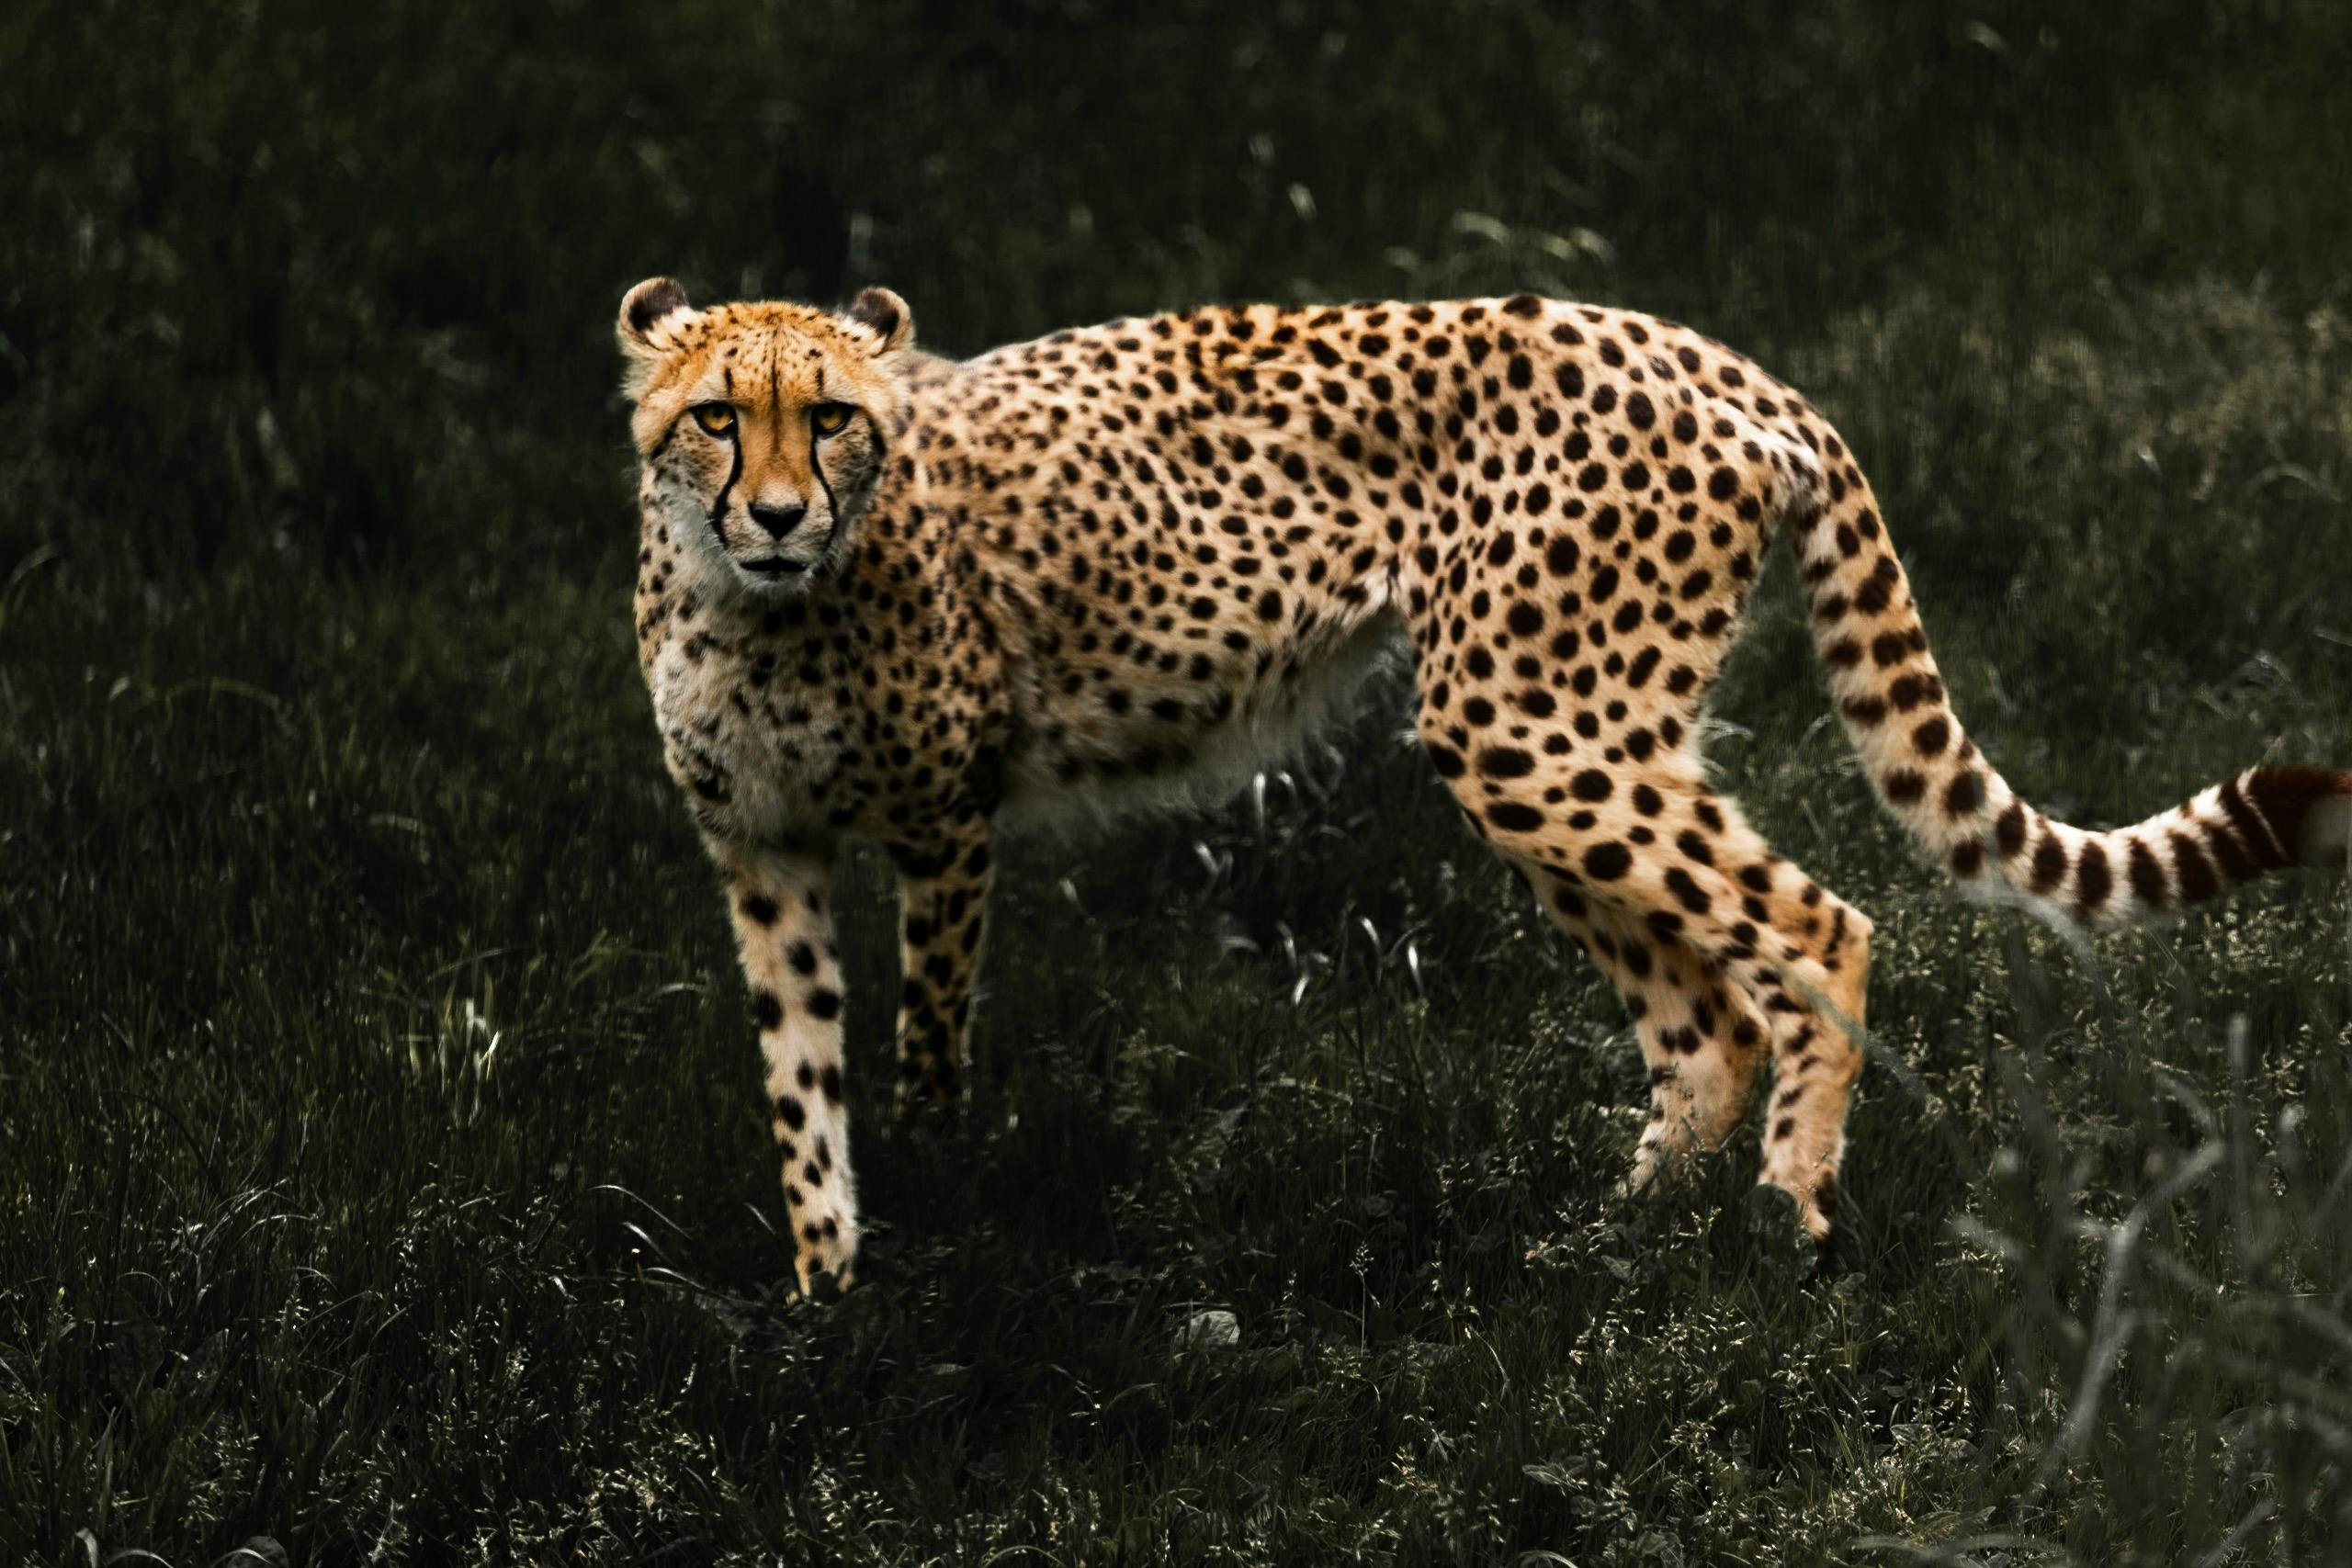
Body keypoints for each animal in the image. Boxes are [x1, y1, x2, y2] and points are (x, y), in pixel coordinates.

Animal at [615, 275, 2352, 1293]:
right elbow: (798, 1080)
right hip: (1560, 731)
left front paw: (935, 1204)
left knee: (1822, 925)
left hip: (1528, 720)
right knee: (1705, 1021)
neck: (757, 604)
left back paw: (1791, 1195)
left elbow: (922, 1047)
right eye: (715, 419)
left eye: (834, 419)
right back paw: (1612, 1242)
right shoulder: (759, 851)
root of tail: (1686, 340)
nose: (778, 511)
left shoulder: (947, 822)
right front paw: (824, 1300)